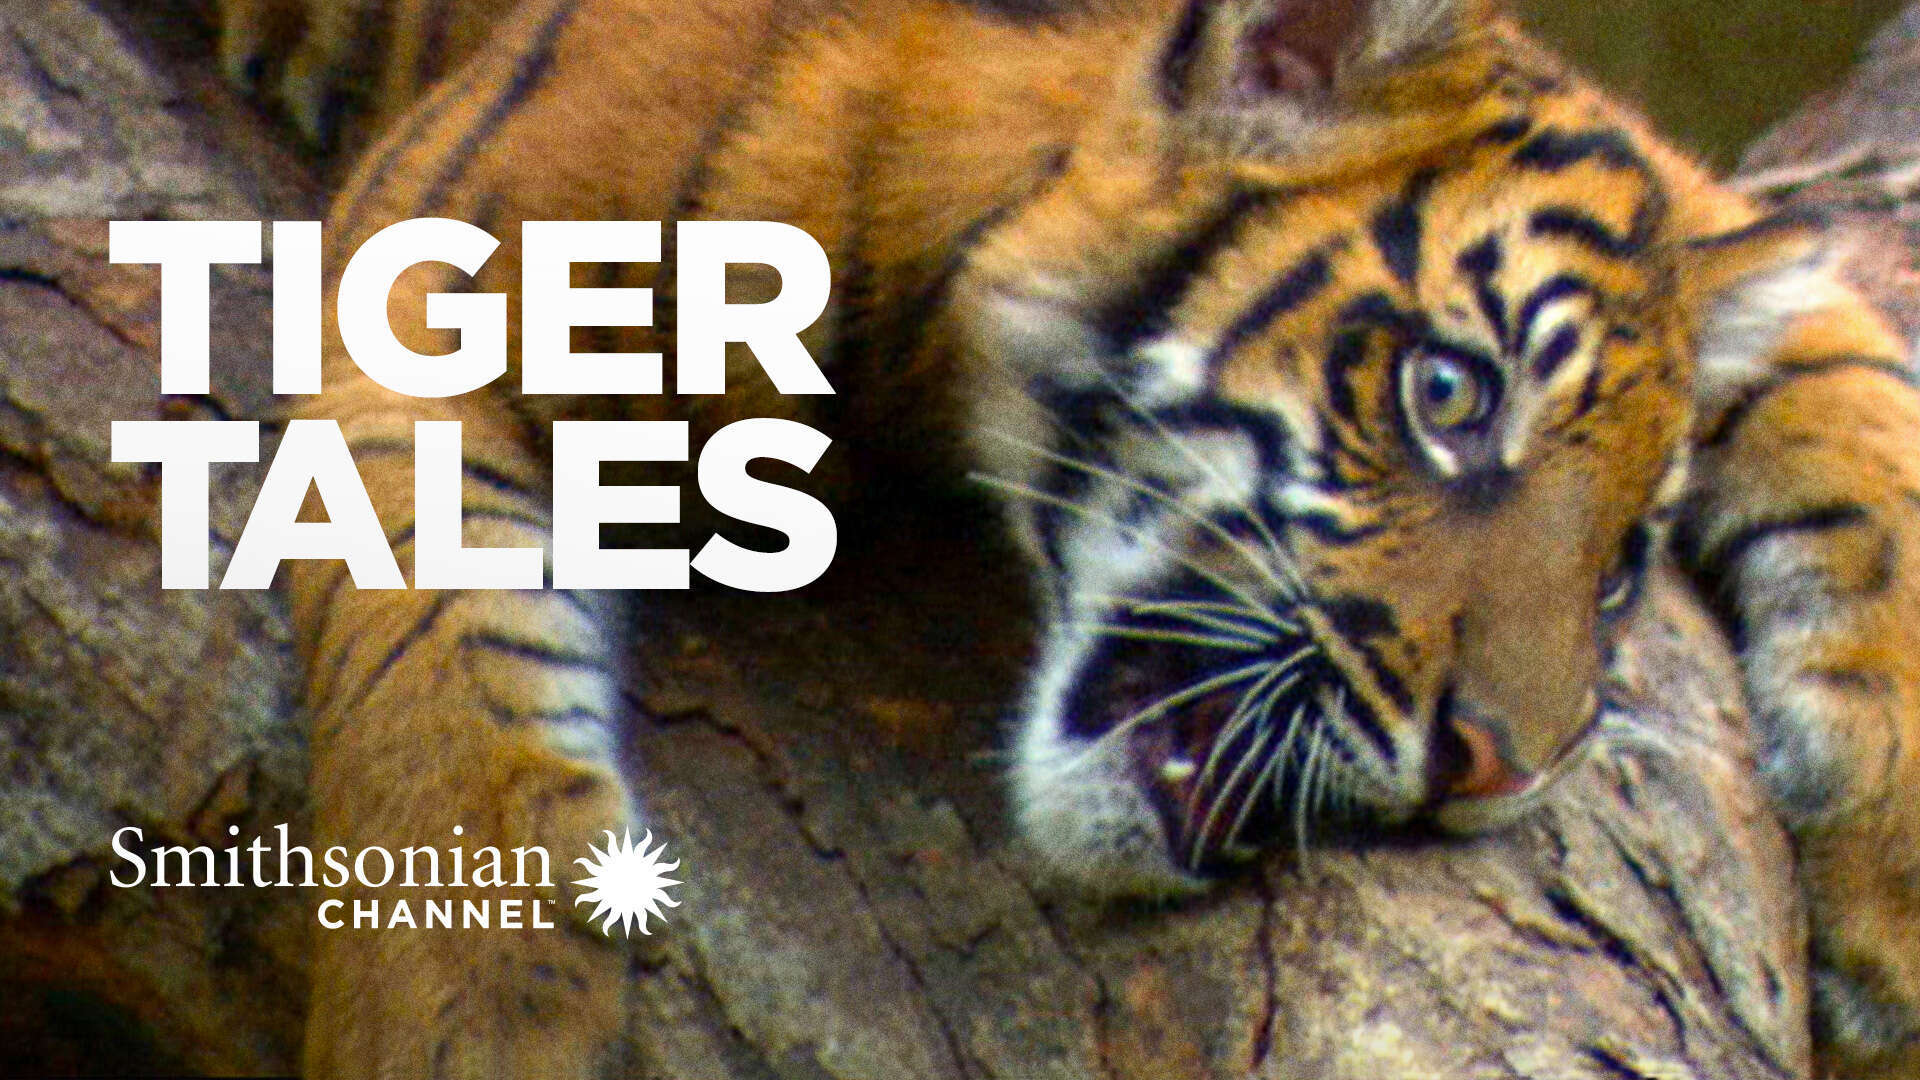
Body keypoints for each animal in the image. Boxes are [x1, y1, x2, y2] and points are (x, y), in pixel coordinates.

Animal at [204, 0, 1920, 1076]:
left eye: (1621, 566)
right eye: (1450, 392)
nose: (1496, 764)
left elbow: (1869, 399)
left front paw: (1895, 914)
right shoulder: (429, 267)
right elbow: (428, 662)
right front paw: (461, 1020)